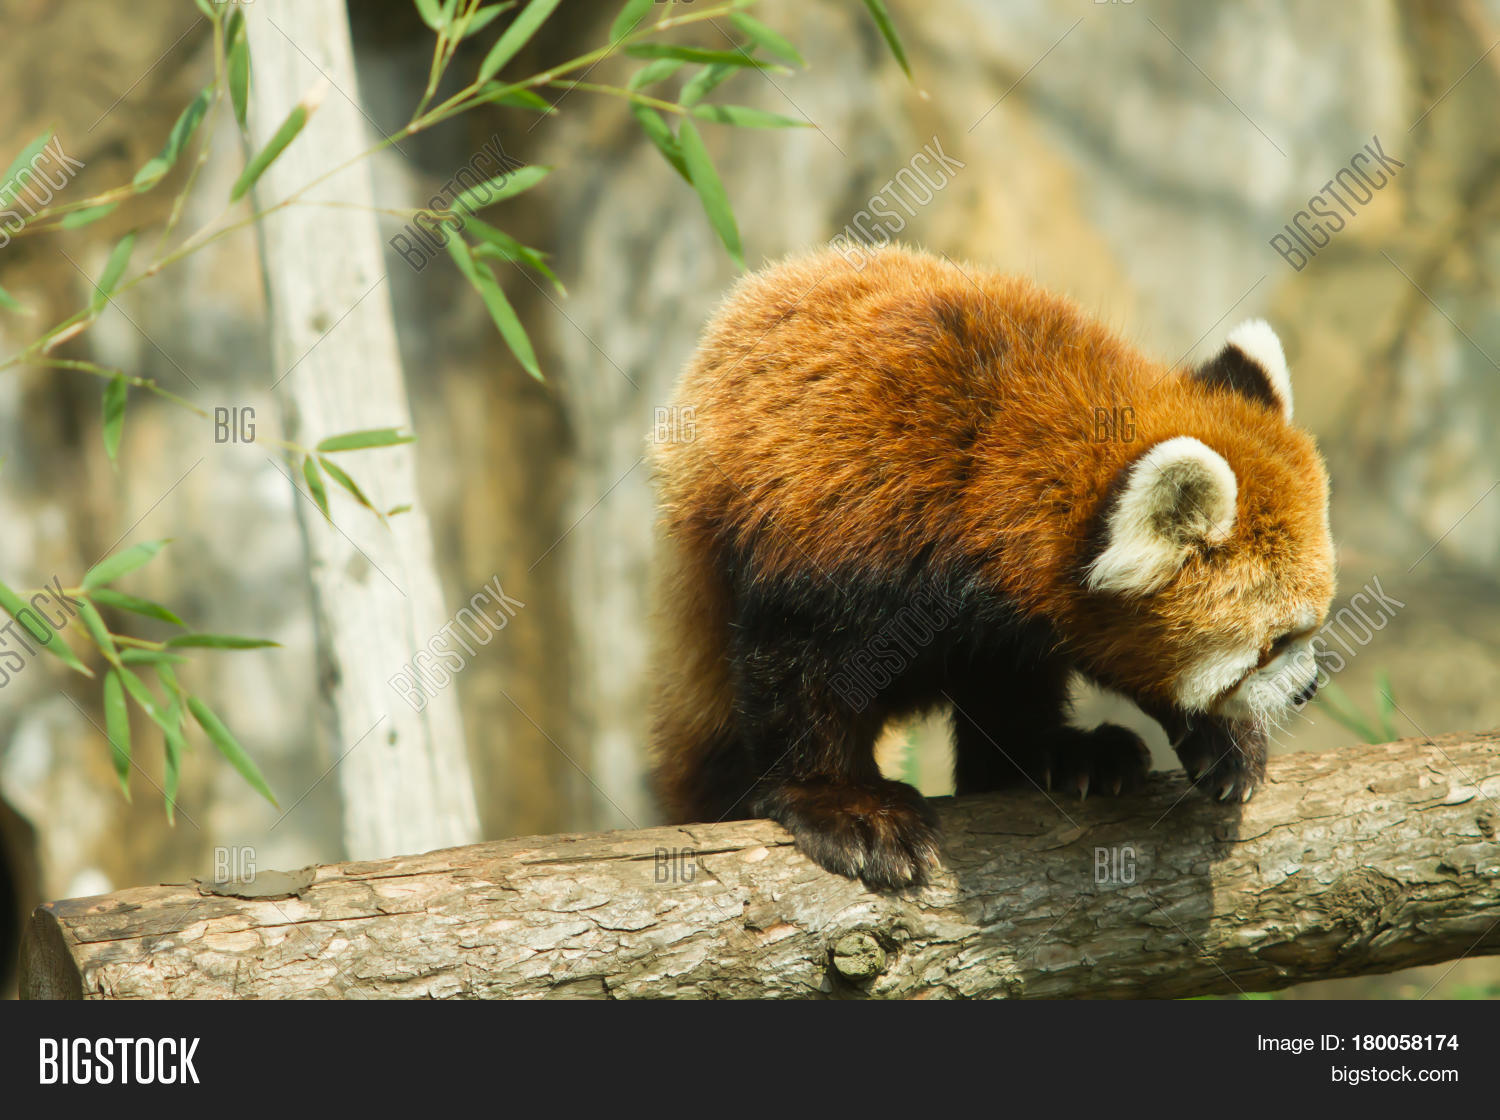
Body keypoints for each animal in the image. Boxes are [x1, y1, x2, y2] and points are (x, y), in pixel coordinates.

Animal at [648, 245, 1335, 889]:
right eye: (1276, 641)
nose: (1309, 688)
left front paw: (1224, 739)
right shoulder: (840, 513)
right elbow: (799, 672)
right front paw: (845, 804)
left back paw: (1066, 756)